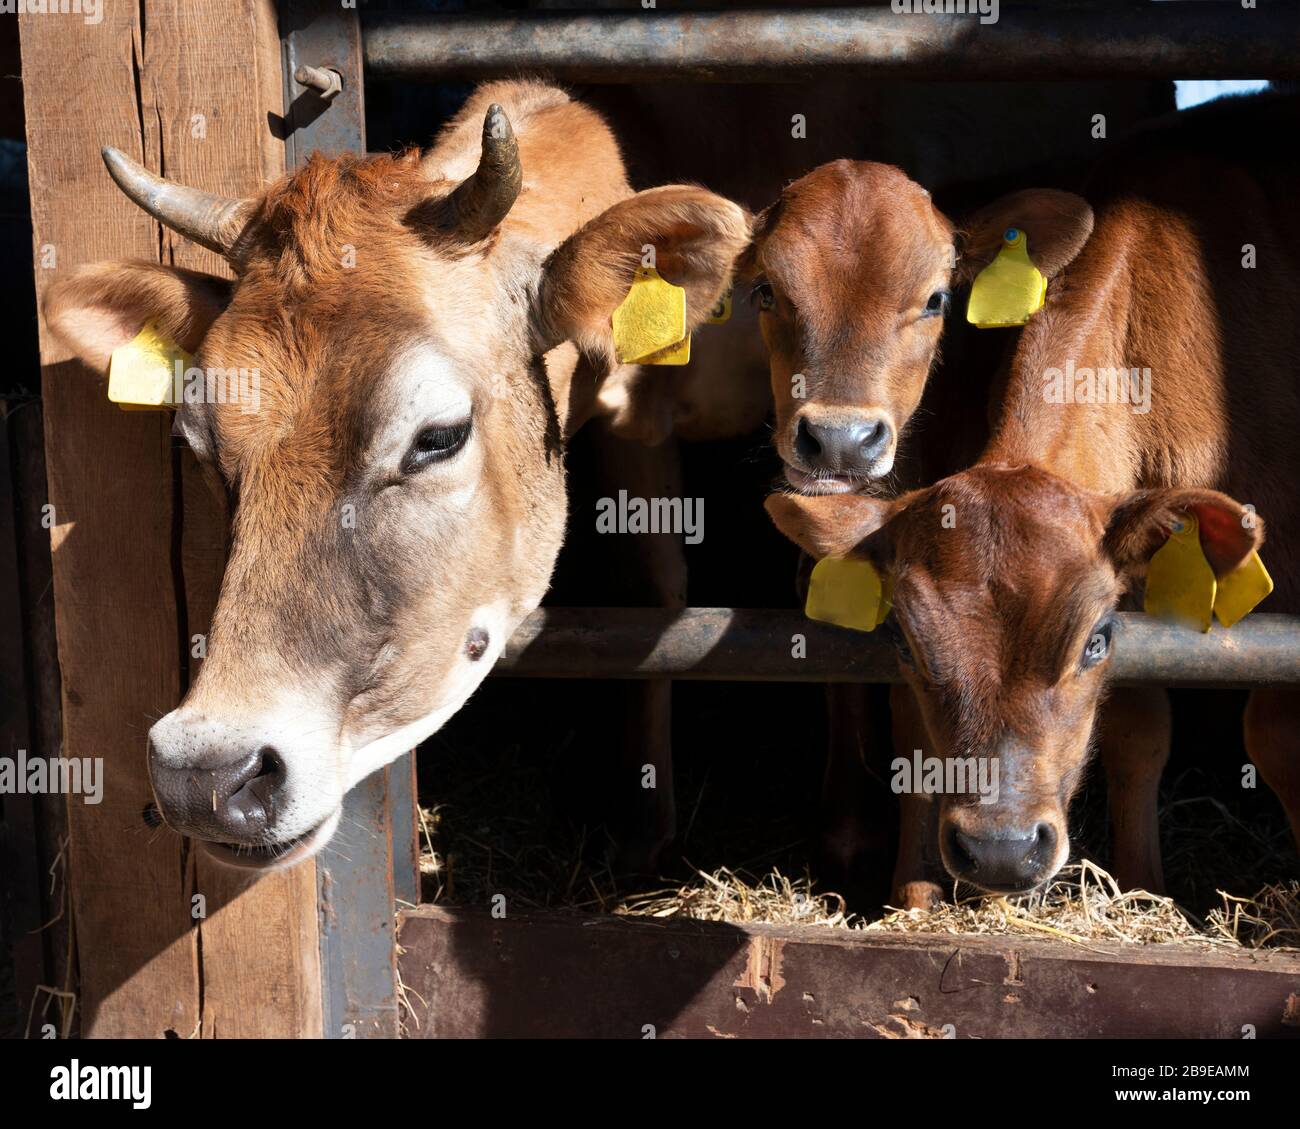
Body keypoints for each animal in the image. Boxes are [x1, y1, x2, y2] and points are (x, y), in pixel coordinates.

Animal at [43, 79, 749, 870]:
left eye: (440, 437)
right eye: (195, 441)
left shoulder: (647, 428)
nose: (205, 776)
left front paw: (648, 827)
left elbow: (660, 594)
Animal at [766, 93, 1300, 905]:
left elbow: (1274, 721)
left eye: (1094, 640)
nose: (1000, 850)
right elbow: (1137, 726)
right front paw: (1142, 886)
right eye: (905, 642)